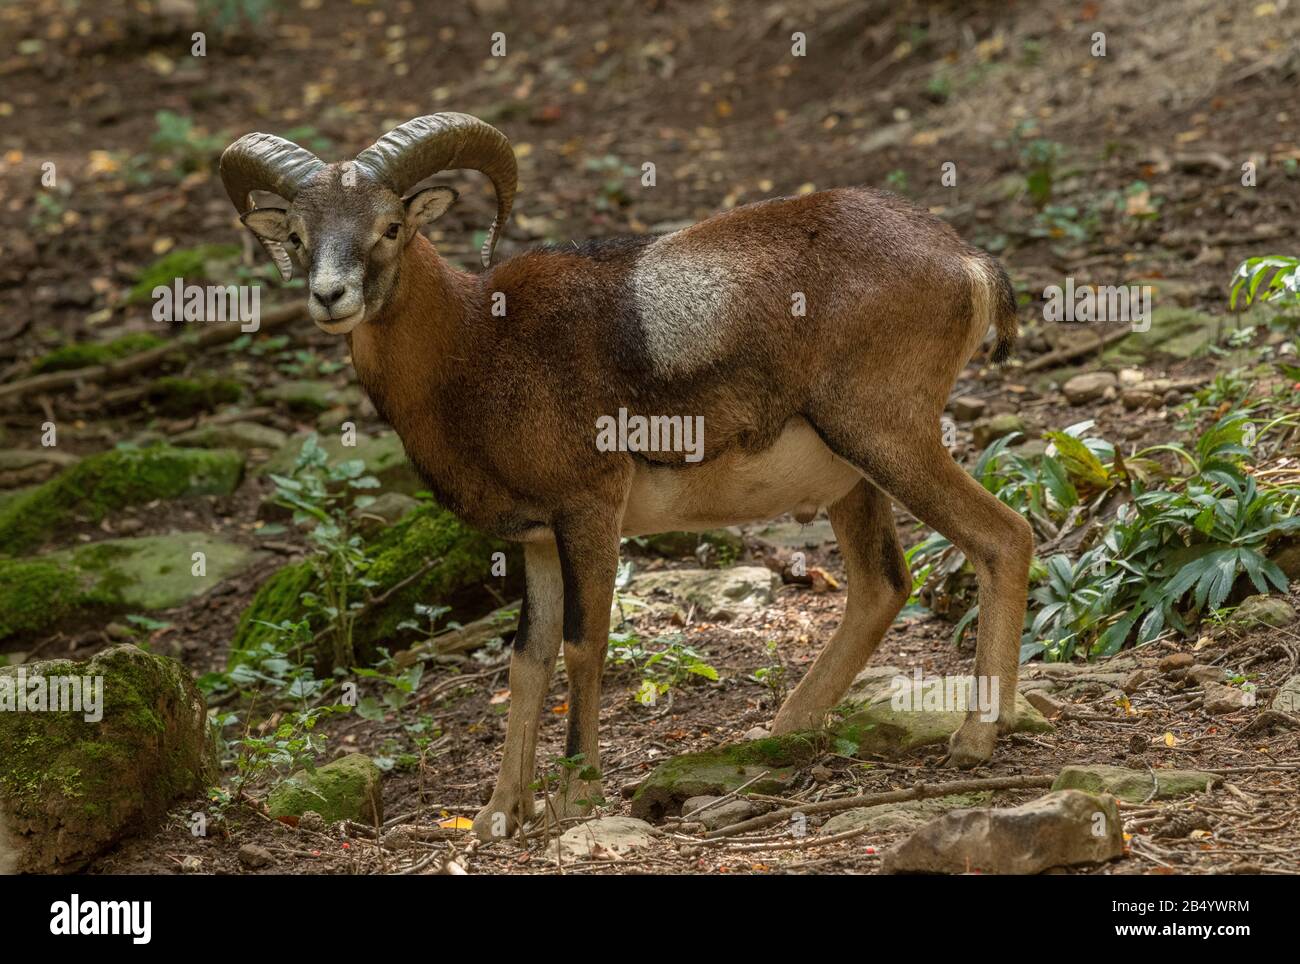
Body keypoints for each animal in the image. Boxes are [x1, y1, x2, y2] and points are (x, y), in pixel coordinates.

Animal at [221, 112, 1032, 841]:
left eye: (390, 226)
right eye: (297, 235)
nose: (331, 297)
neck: (478, 346)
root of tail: (965, 262)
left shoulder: (590, 513)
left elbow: (585, 644)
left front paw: (573, 798)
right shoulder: (538, 541)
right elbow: (527, 661)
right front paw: (497, 815)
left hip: (887, 440)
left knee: (1004, 538)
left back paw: (974, 739)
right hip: (853, 481)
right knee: (881, 585)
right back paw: (782, 732)